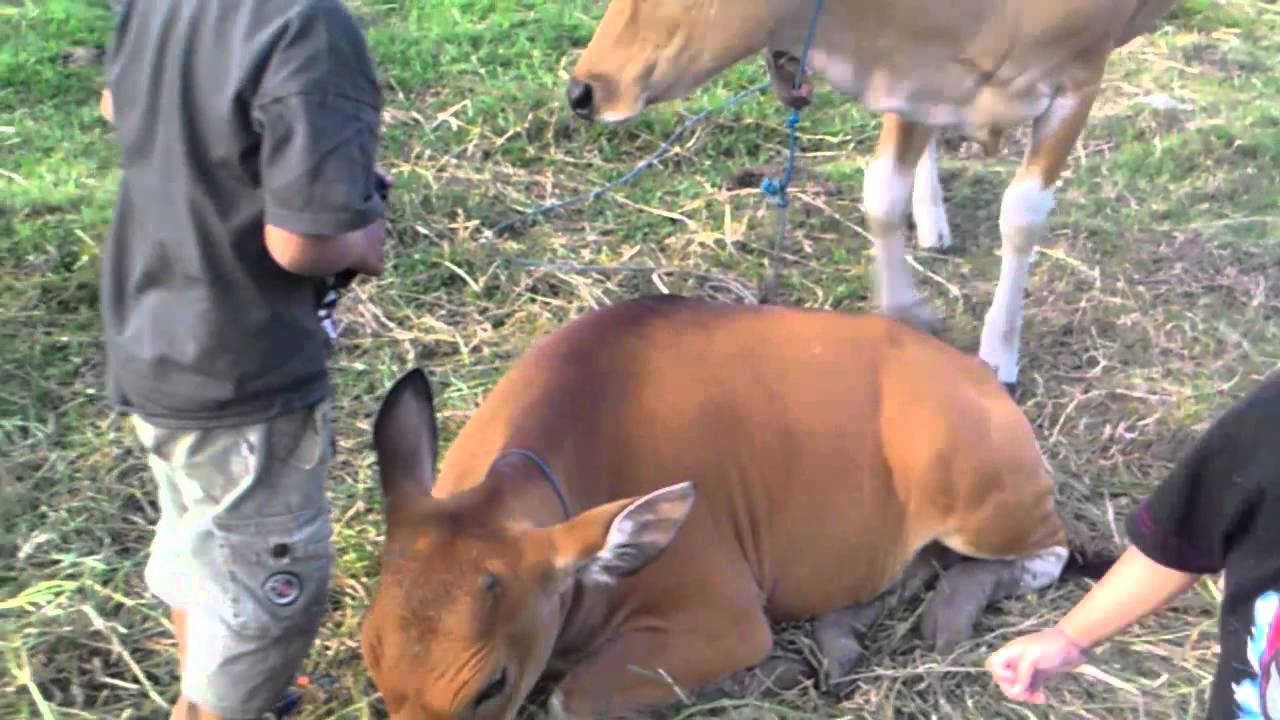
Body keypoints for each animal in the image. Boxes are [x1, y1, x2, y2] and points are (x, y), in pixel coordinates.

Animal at [358, 295, 1094, 719]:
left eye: (489, 687)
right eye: (374, 664)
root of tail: (980, 377)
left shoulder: (723, 620)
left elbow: (572, 699)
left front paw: (753, 678)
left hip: (972, 492)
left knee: (1047, 554)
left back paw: (948, 611)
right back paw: (842, 635)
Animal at [564, 0, 1176, 393]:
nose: (581, 90)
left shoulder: (1080, 78)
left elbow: (1022, 216)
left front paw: (1000, 351)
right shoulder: (915, 79)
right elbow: (882, 194)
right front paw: (903, 310)